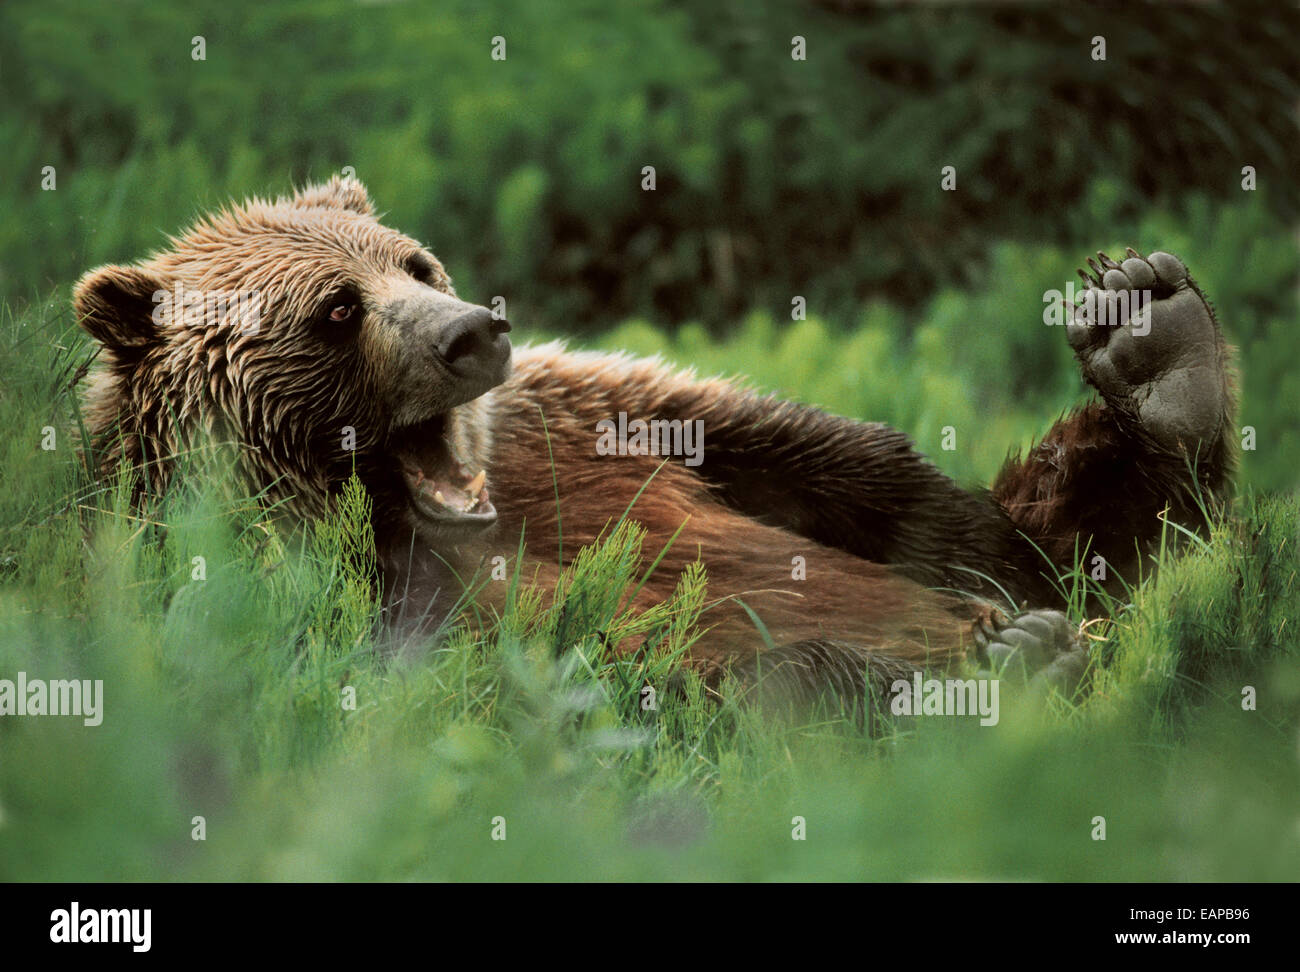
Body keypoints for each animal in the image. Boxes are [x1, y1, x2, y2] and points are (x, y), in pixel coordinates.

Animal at [73, 177, 1235, 715]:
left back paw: (1154, 344)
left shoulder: (591, 418)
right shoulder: (328, 606)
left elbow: (853, 473)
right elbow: (616, 658)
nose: (470, 334)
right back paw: (1020, 657)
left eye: (414, 262)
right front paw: (958, 661)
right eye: (335, 308)